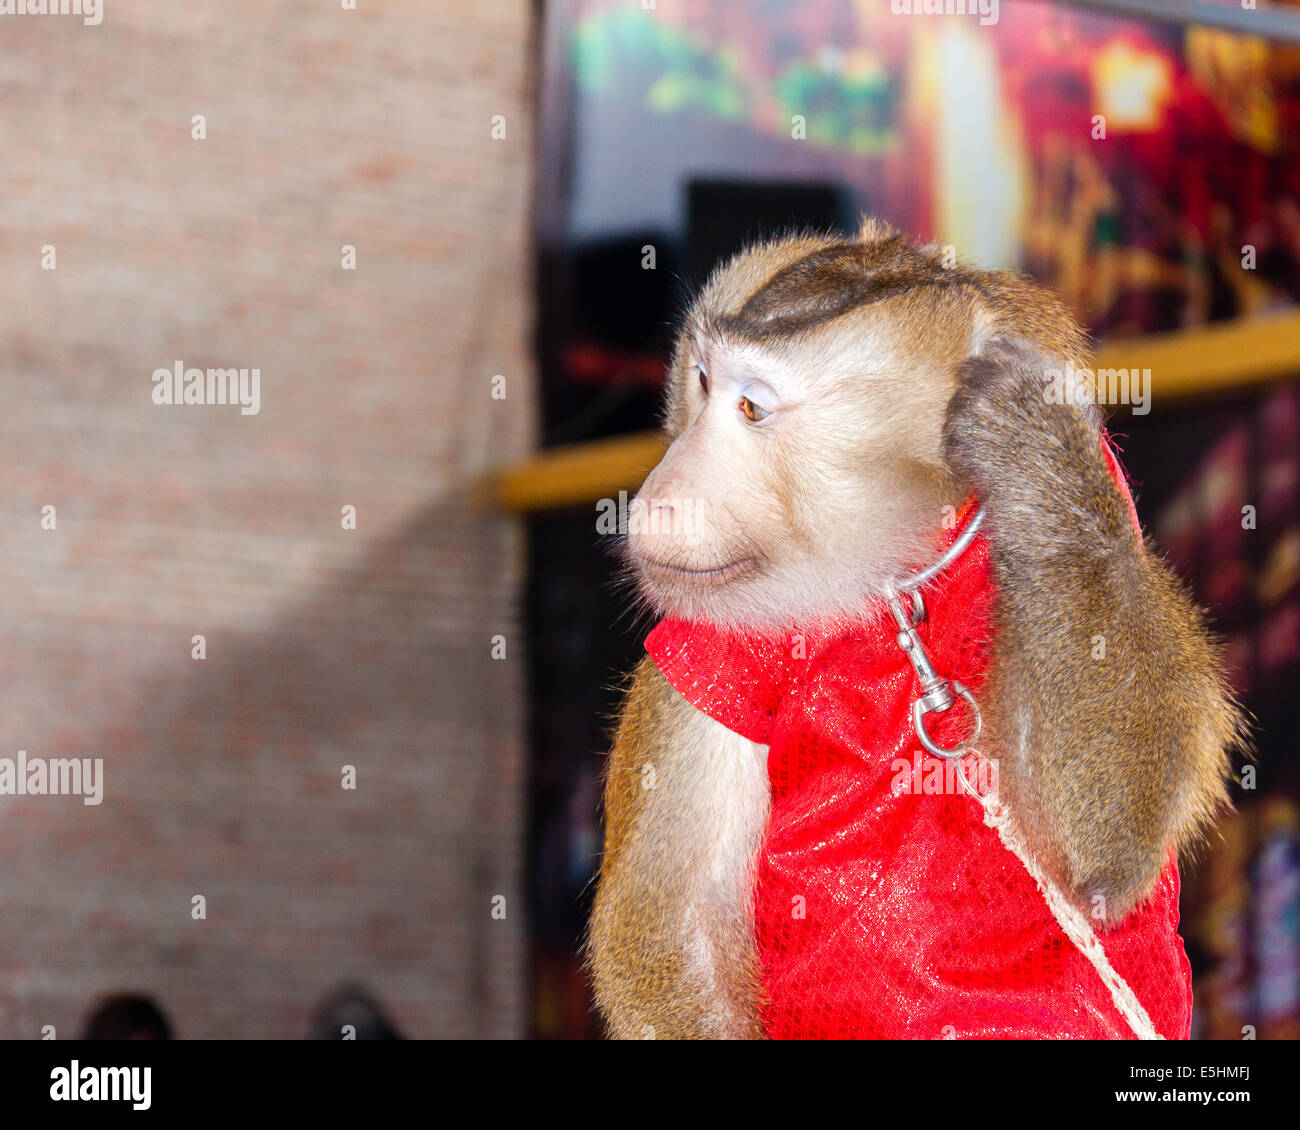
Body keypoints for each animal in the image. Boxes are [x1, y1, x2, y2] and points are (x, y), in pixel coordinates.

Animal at [586, 218, 1244, 1040]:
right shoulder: (709, 645)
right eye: (703, 382)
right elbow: (673, 930)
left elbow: (1100, 864)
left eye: (752, 410)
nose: (659, 495)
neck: (888, 589)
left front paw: (1038, 453)